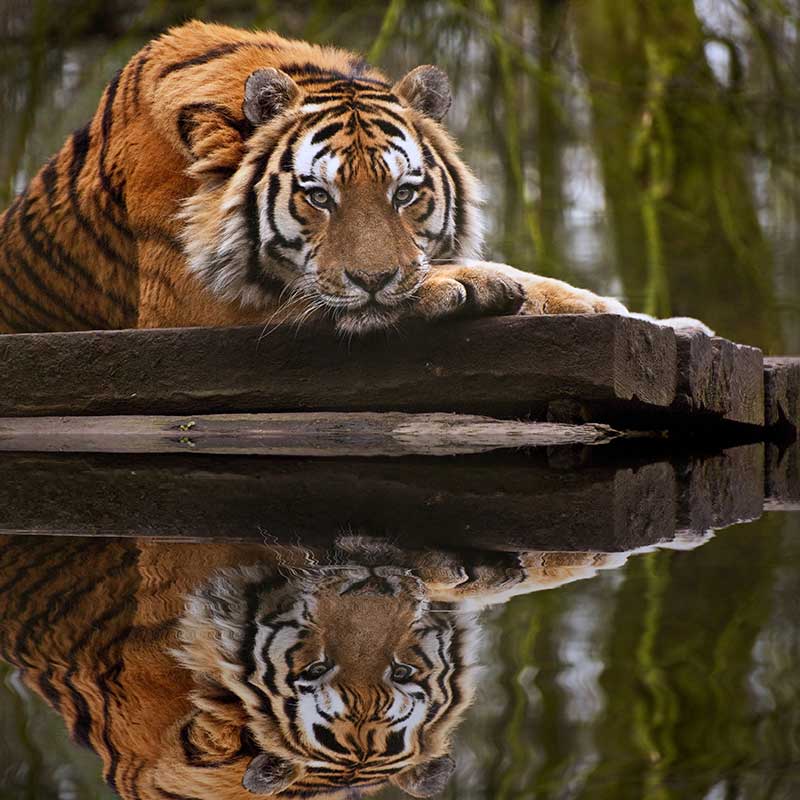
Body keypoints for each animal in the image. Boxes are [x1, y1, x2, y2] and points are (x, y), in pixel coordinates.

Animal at [0, 20, 633, 336]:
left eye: (405, 193)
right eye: (319, 197)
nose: (374, 281)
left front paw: (598, 305)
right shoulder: (188, 304)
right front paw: (466, 284)